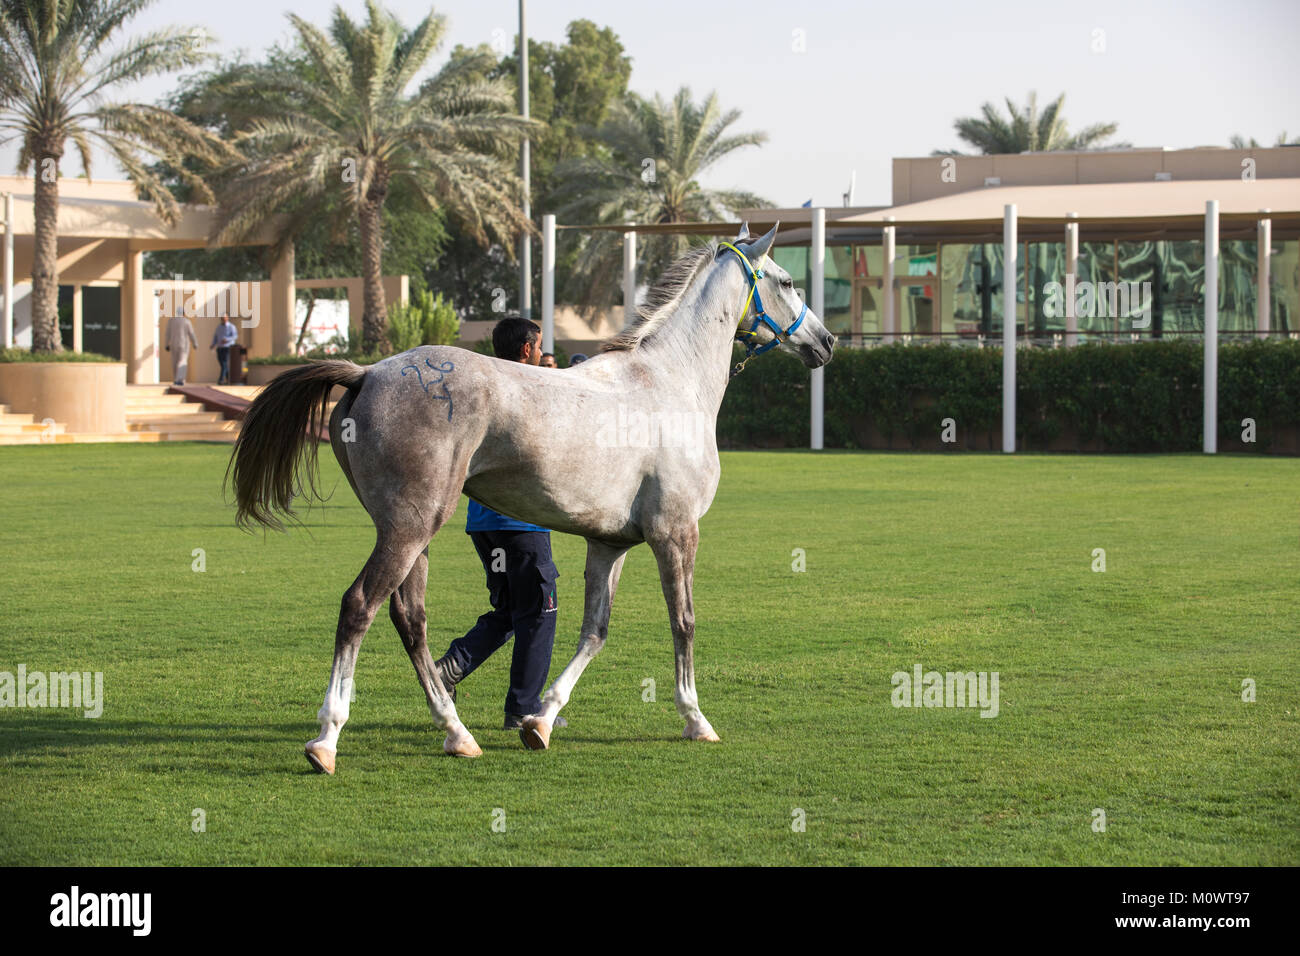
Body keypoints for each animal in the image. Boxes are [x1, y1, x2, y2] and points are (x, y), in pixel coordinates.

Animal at [229, 222, 835, 771]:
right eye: (786, 280)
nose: (825, 341)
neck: (668, 382)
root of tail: (367, 372)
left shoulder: (609, 545)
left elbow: (594, 632)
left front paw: (541, 720)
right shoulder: (676, 533)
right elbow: (683, 622)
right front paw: (695, 719)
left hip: (410, 532)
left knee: (410, 618)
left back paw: (456, 732)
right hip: (410, 527)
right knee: (359, 606)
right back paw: (327, 739)